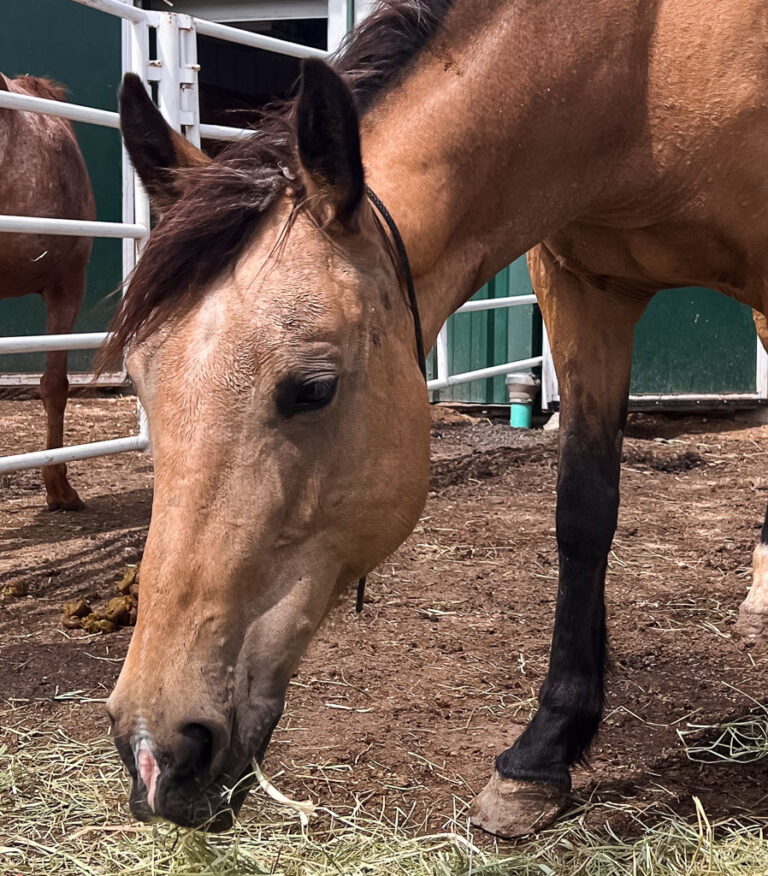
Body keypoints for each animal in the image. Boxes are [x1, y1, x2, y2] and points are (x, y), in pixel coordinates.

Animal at [103, 0, 768, 837]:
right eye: (139, 381)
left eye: (312, 389)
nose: (156, 753)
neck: (643, 66)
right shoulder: (580, 287)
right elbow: (584, 514)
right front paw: (540, 757)